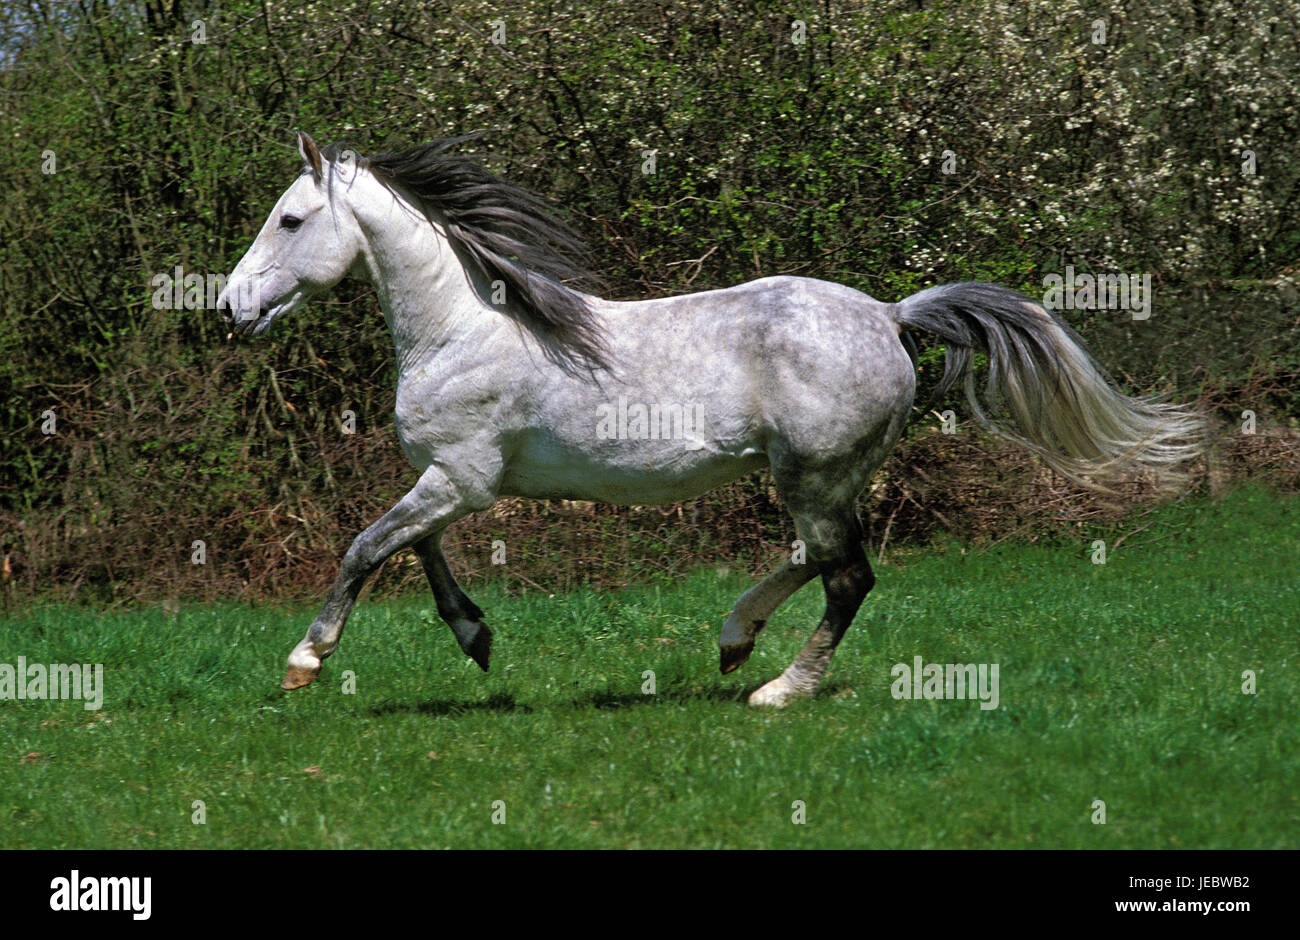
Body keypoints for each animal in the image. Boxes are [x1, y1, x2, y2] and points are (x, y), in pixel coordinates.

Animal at [217, 132, 1204, 707]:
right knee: (817, 558)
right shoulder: (459, 482)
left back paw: (779, 691)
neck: (465, 328)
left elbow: (366, 547)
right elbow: (415, 550)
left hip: (815, 473)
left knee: (849, 576)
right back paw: (735, 642)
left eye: (290, 219)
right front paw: (478, 637)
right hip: (819, 476)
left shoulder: (461, 477)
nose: (229, 306)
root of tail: (890, 314)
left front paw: (306, 662)